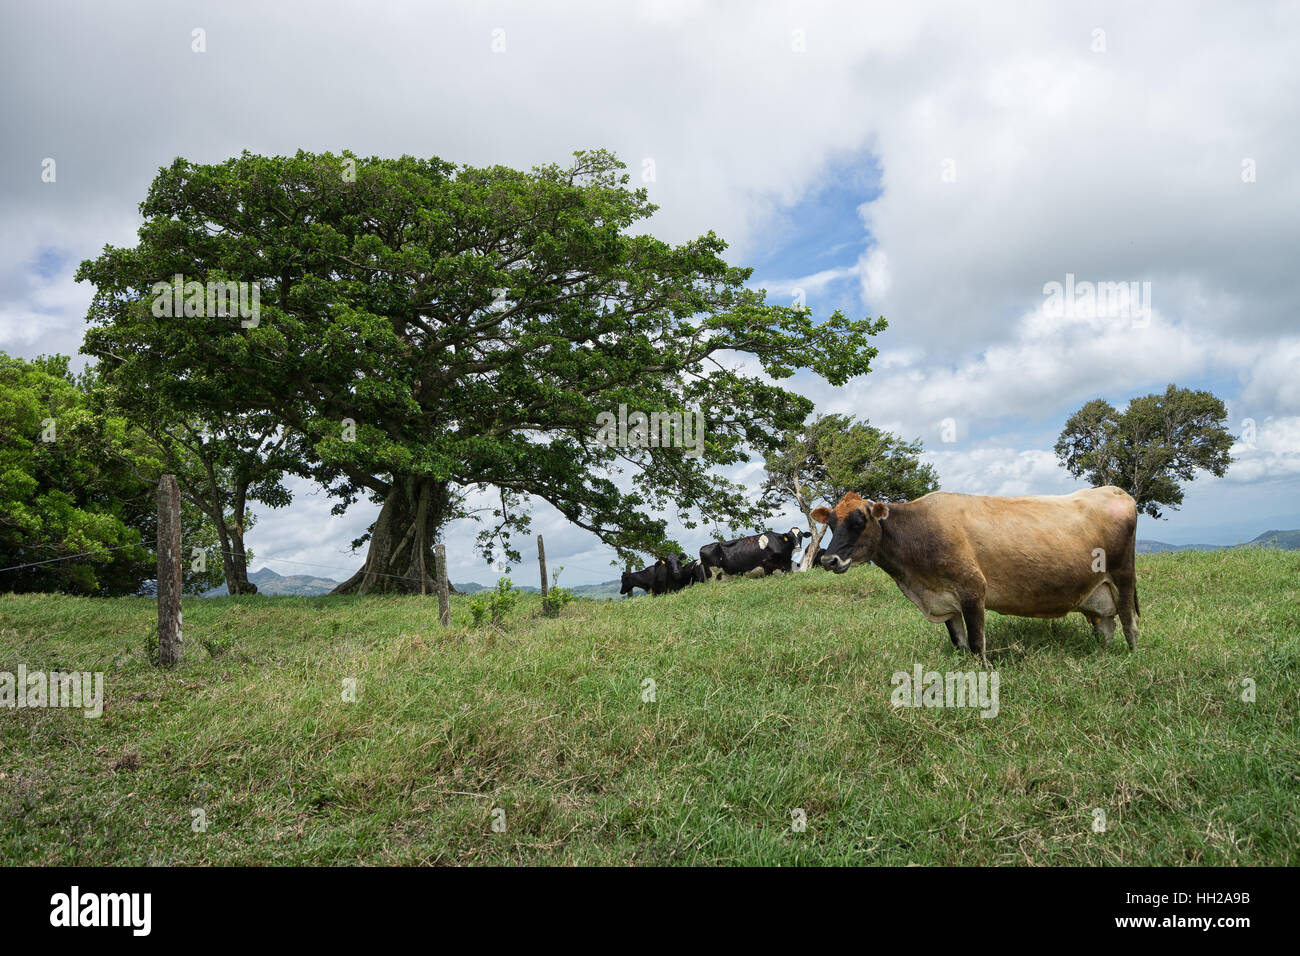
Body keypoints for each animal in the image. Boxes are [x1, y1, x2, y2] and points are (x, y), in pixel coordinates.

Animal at [813, 486, 1139, 658]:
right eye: (831, 523)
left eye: (859, 522)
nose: (828, 560)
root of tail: (1114, 490)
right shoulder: (946, 599)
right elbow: (959, 643)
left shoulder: (973, 592)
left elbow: (976, 644)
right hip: (1099, 594)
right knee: (1105, 626)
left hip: (1123, 578)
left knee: (1129, 623)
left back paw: (1131, 657)